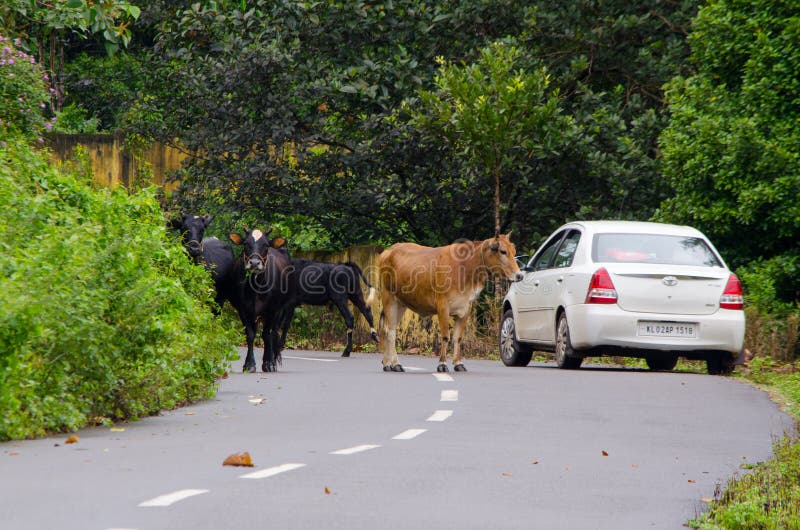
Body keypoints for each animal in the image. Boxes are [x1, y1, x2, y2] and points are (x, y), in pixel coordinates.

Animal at [229, 228, 291, 373]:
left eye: (266, 245)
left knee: (273, 333)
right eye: (246, 243)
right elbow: (250, 334)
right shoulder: (243, 309)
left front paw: (269, 363)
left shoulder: (272, 309)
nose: (255, 263)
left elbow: (267, 335)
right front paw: (249, 364)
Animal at [378, 234, 522, 373]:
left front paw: (458, 363)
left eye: (514, 251)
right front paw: (442, 364)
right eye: (503, 251)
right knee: (390, 331)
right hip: (389, 298)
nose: (519, 275)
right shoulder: (443, 306)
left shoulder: (466, 308)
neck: (466, 269)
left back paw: (388, 363)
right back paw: (394, 364)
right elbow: (445, 336)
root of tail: (388, 251)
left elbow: (458, 337)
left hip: (401, 303)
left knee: (388, 329)